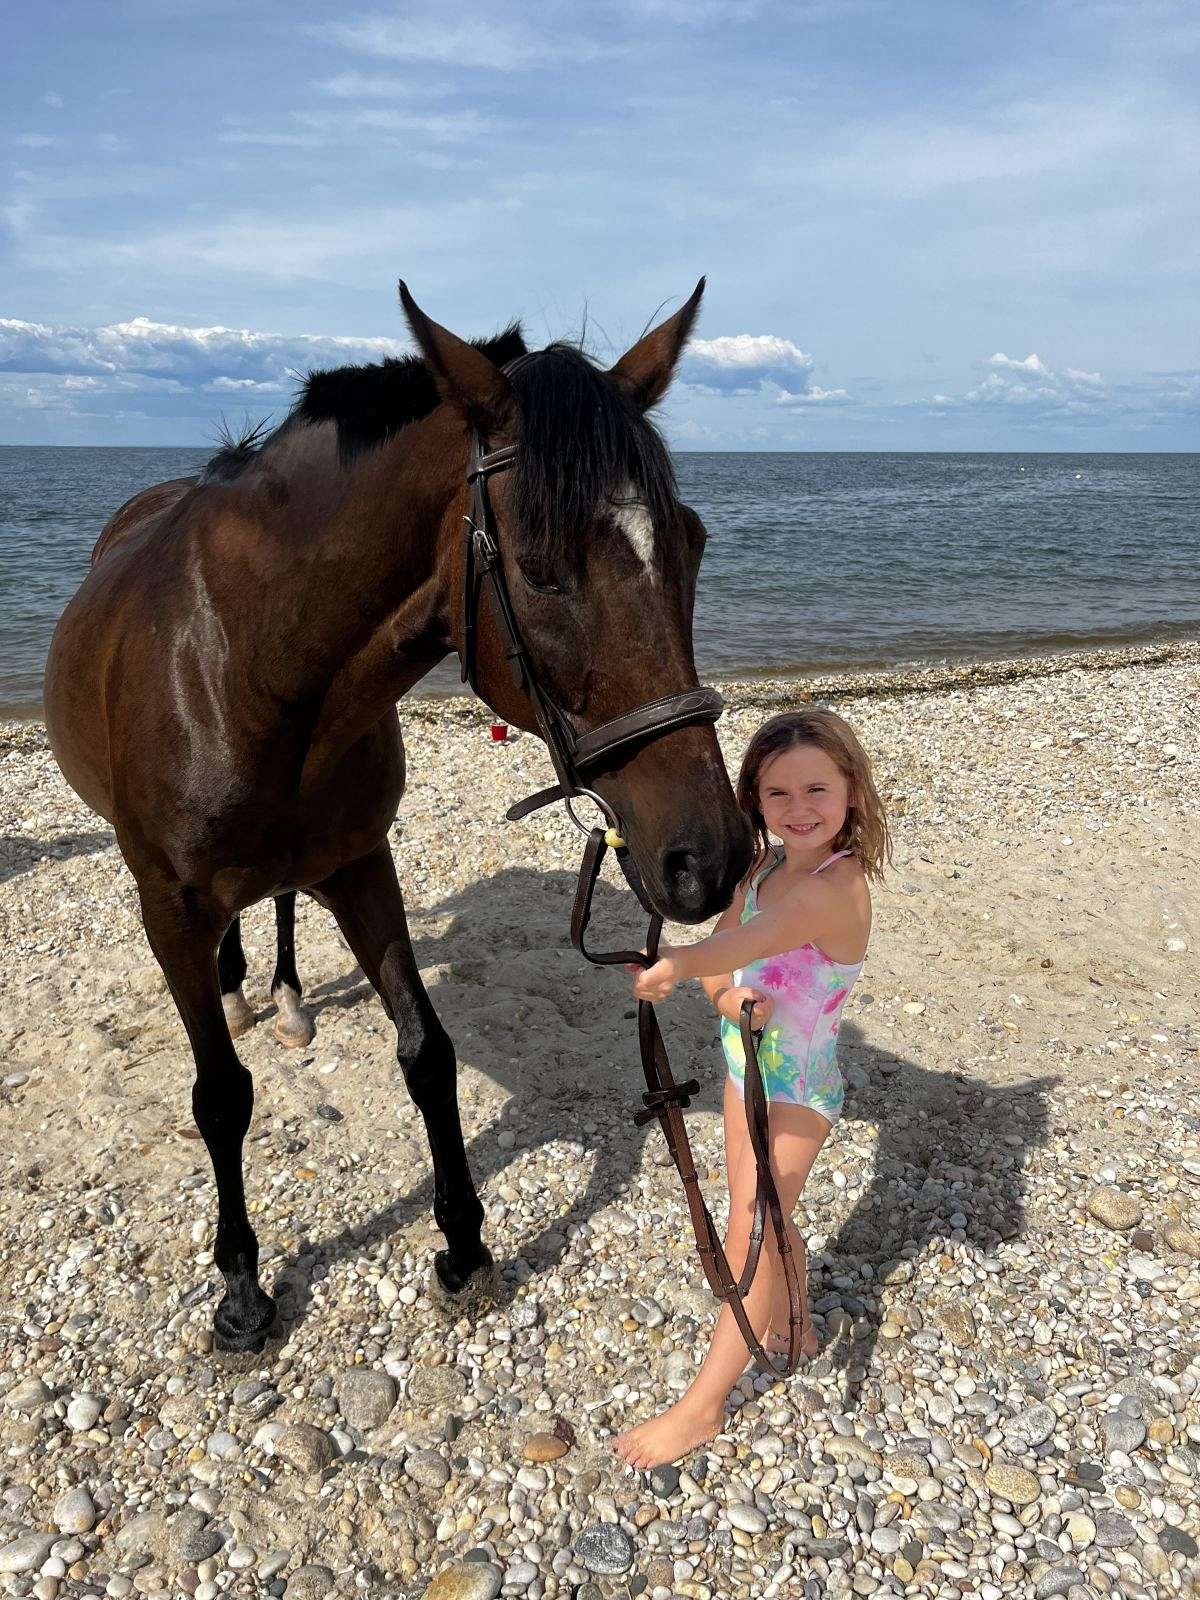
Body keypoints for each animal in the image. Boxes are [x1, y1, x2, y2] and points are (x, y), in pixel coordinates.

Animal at [44, 278, 753, 1354]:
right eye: (539, 567)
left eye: (695, 540)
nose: (709, 860)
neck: (247, 662)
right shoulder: (167, 905)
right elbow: (220, 1095)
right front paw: (242, 1288)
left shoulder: (360, 864)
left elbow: (427, 1051)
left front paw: (464, 1247)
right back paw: (244, 990)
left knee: (280, 900)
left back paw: (285, 993)